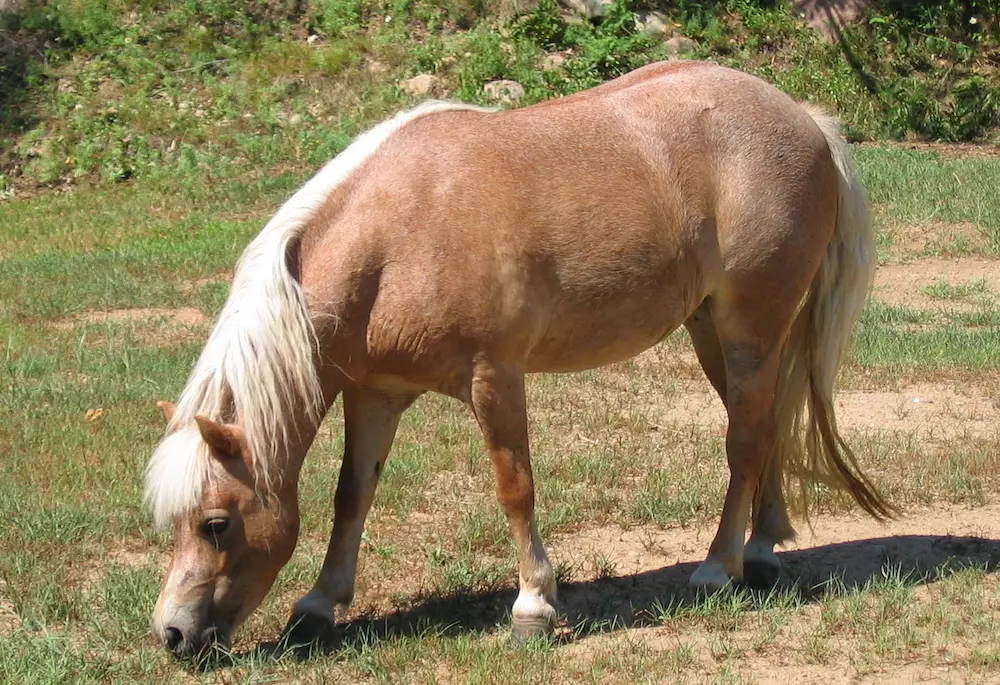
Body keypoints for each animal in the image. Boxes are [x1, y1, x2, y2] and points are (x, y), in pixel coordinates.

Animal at [143, 60, 892, 656]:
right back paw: (760, 551)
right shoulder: (375, 392)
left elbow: (515, 486)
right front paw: (319, 604)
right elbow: (352, 494)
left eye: (216, 523)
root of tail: (803, 117)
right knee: (763, 427)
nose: (172, 634)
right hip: (715, 334)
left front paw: (534, 605)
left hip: (750, 328)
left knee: (745, 441)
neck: (396, 235)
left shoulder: (493, 378)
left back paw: (718, 565)